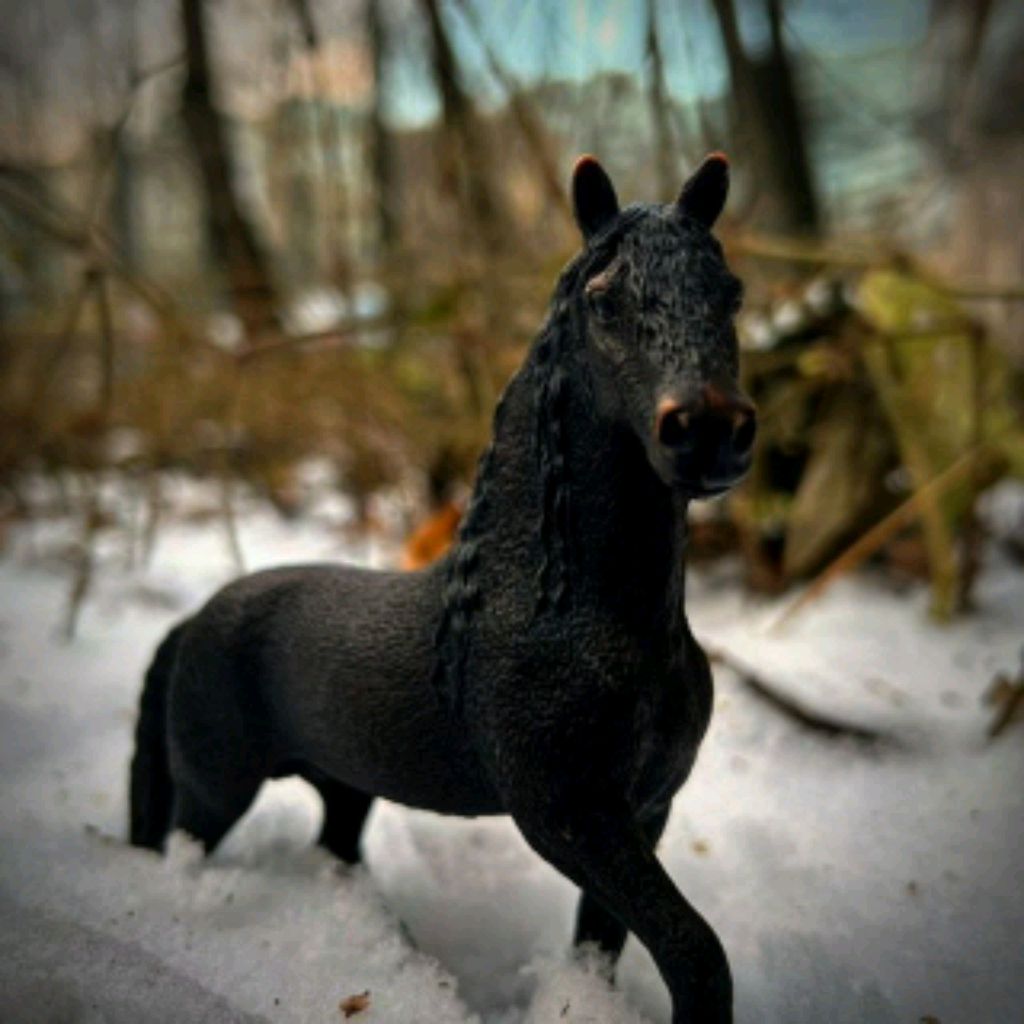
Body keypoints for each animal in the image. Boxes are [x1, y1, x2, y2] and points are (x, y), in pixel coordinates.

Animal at [129, 153, 755, 1024]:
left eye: (731, 292)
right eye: (604, 300)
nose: (708, 430)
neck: (569, 619)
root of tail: (195, 619)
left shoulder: (645, 809)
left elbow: (604, 942)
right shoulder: (566, 816)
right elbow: (695, 953)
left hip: (342, 784)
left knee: (336, 842)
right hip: (215, 787)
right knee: (185, 846)